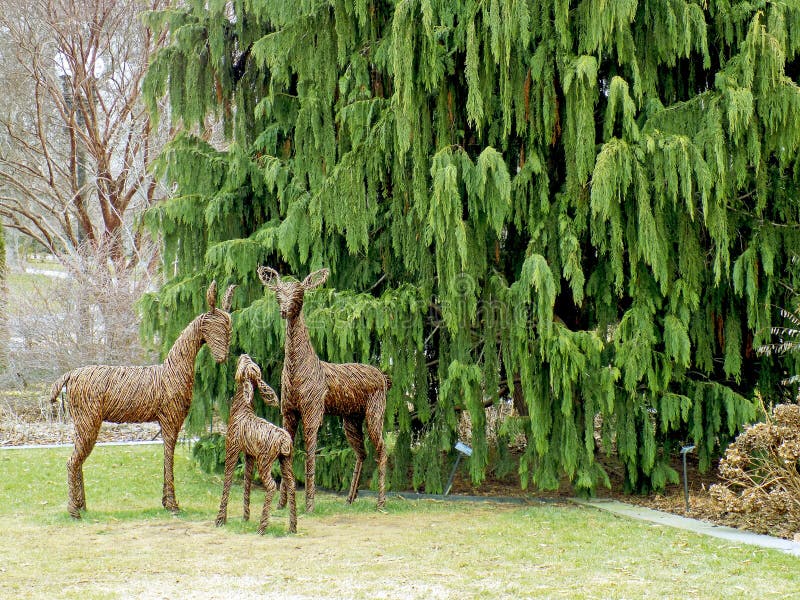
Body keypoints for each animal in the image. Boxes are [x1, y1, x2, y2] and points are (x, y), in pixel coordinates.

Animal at [50, 281, 236, 518]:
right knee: (72, 461)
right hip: (88, 421)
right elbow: (169, 455)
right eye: (215, 328)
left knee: (77, 459)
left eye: (229, 329)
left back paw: (82, 505)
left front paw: (166, 501)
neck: (173, 371)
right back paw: (74, 511)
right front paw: (172, 504)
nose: (222, 358)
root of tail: (70, 376)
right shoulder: (170, 419)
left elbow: (167, 455)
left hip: (81, 424)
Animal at [216, 354, 297, 534]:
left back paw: (262, 527)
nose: (244, 355)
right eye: (252, 364)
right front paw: (245, 518)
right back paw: (292, 528)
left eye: (246, 365)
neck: (241, 411)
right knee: (291, 484)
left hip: (265, 460)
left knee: (272, 485)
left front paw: (220, 520)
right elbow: (247, 482)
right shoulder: (249, 454)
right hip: (285, 459)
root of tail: (284, 441)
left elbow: (227, 480)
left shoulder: (232, 448)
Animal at [258, 266, 391, 512]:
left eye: (299, 293)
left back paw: (380, 503)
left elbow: (310, 453)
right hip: (351, 419)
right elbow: (287, 451)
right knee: (362, 452)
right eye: (278, 294)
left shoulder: (313, 411)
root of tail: (385, 378)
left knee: (382, 449)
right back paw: (350, 499)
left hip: (375, 412)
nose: (284, 310)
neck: (297, 372)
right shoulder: (288, 412)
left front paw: (309, 505)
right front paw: (282, 505)